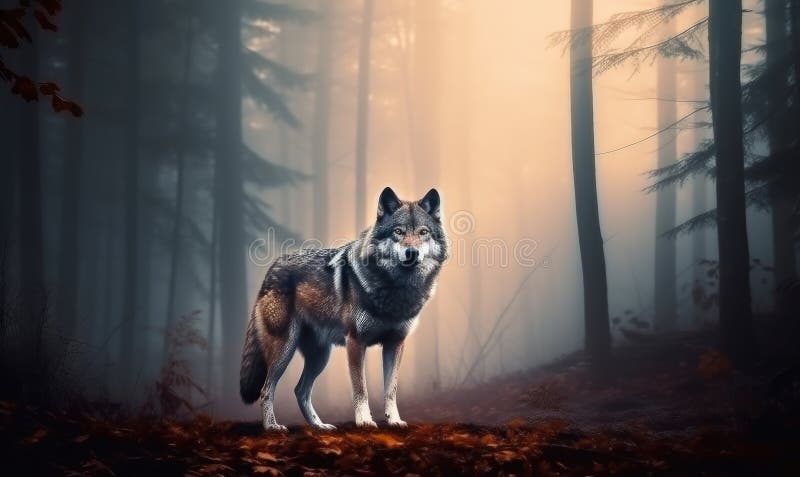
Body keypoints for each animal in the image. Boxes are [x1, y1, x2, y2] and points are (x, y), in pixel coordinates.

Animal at [239, 187, 449, 431]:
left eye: (423, 232)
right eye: (398, 231)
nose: (412, 252)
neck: (395, 291)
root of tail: (272, 267)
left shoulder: (395, 344)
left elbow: (391, 389)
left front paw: (394, 420)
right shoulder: (355, 342)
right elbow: (361, 389)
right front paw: (365, 421)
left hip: (320, 357)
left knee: (300, 390)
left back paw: (319, 426)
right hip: (285, 348)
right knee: (267, 390)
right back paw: (272, 427)